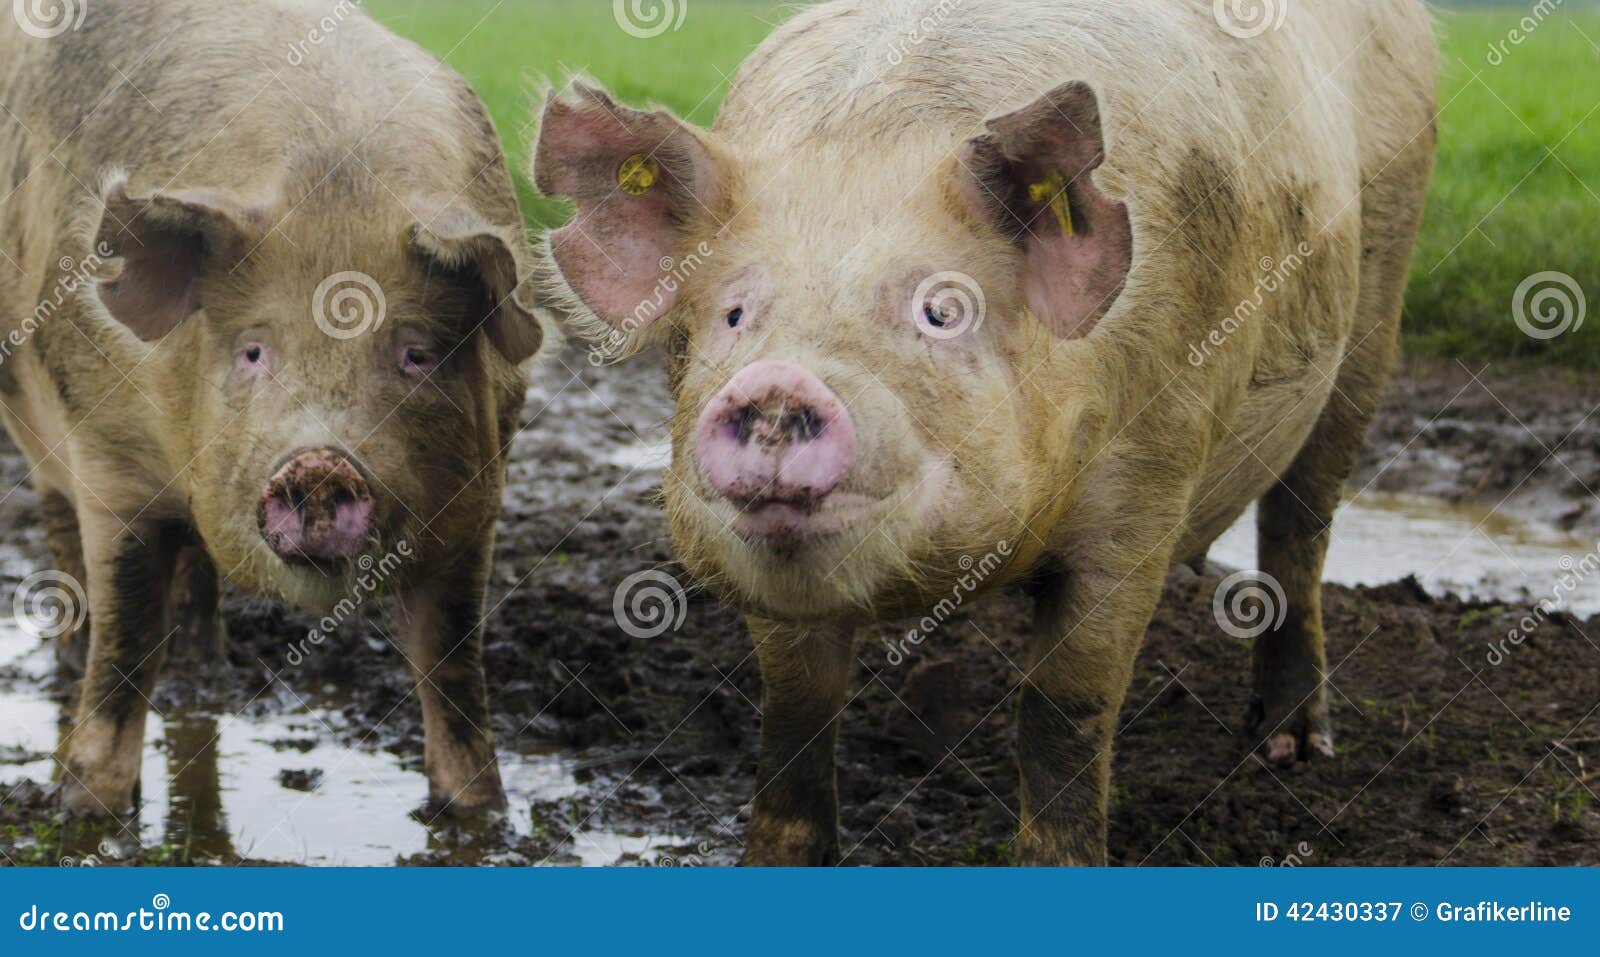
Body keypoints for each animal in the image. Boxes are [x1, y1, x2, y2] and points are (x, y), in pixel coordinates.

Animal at [0, 0, 546, 818]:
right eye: (253, 351)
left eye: (417, 354)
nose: (319, 464)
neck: (340, 184)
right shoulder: (110, 461)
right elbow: (126, 644)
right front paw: (84, 809)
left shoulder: (480, 493)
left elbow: (450, 663)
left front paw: (478, 812)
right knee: (63, 532)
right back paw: (71, 659)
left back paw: (205, 671)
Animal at [533, 0, 1437, 864]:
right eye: (733, 315)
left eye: (941, 311)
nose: (777, 384)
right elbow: (795, 709)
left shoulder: (1151, 476)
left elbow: (1065, 708)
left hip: (1380, 288)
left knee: (1302, 524)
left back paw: (1294, 748)